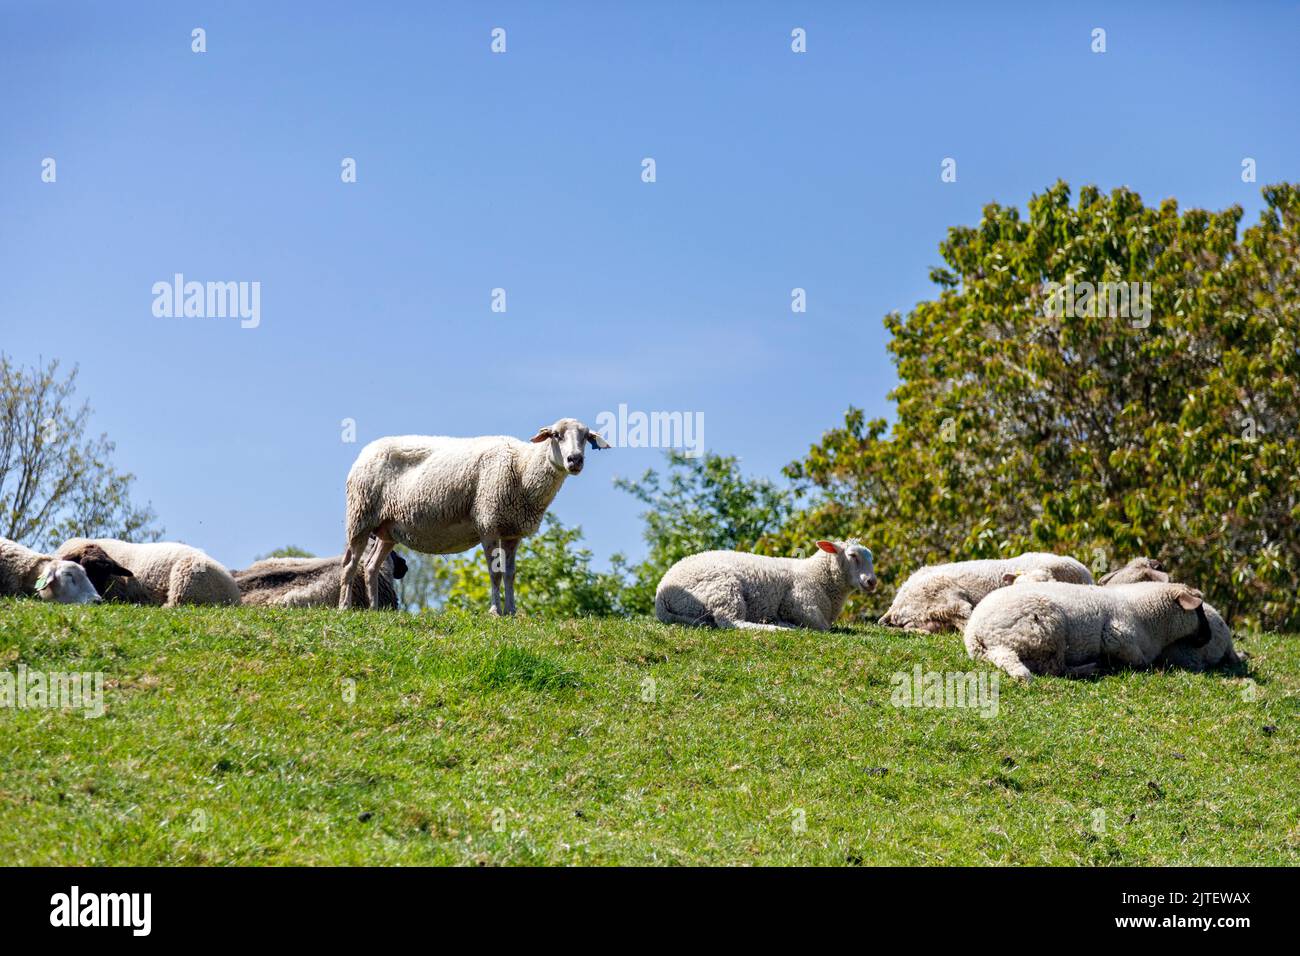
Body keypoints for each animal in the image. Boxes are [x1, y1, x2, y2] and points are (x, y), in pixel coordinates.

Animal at [338, 417, 610, 613]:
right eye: (556, 435)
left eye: (586, 437)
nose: (575, 459)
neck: (523, 468)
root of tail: (366, 451)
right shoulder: (488, 522)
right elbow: (495, 572)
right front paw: (495, 611)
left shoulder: (512, 531)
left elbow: (510, 574)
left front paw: (512, 612)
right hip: (361, 517)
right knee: (350, 565)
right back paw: (345, 607)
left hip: (388, 529)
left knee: (371, 566)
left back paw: (374, 609)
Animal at [655, 539, 877, 631]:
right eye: (853, 555)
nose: (872, 581)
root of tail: (661, 595)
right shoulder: (799, 603)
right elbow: (824, 628)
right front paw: (789, 624)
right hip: (722, 587)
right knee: (731, 622)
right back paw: (779, 628)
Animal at [964, 579, 1231, 681]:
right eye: (1198, 610)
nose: (1208, 637)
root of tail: (978, 634)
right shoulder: (1117, 635)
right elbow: (1140, 661)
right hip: (1046, 628)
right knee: (1055, 669)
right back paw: (1093, 667)